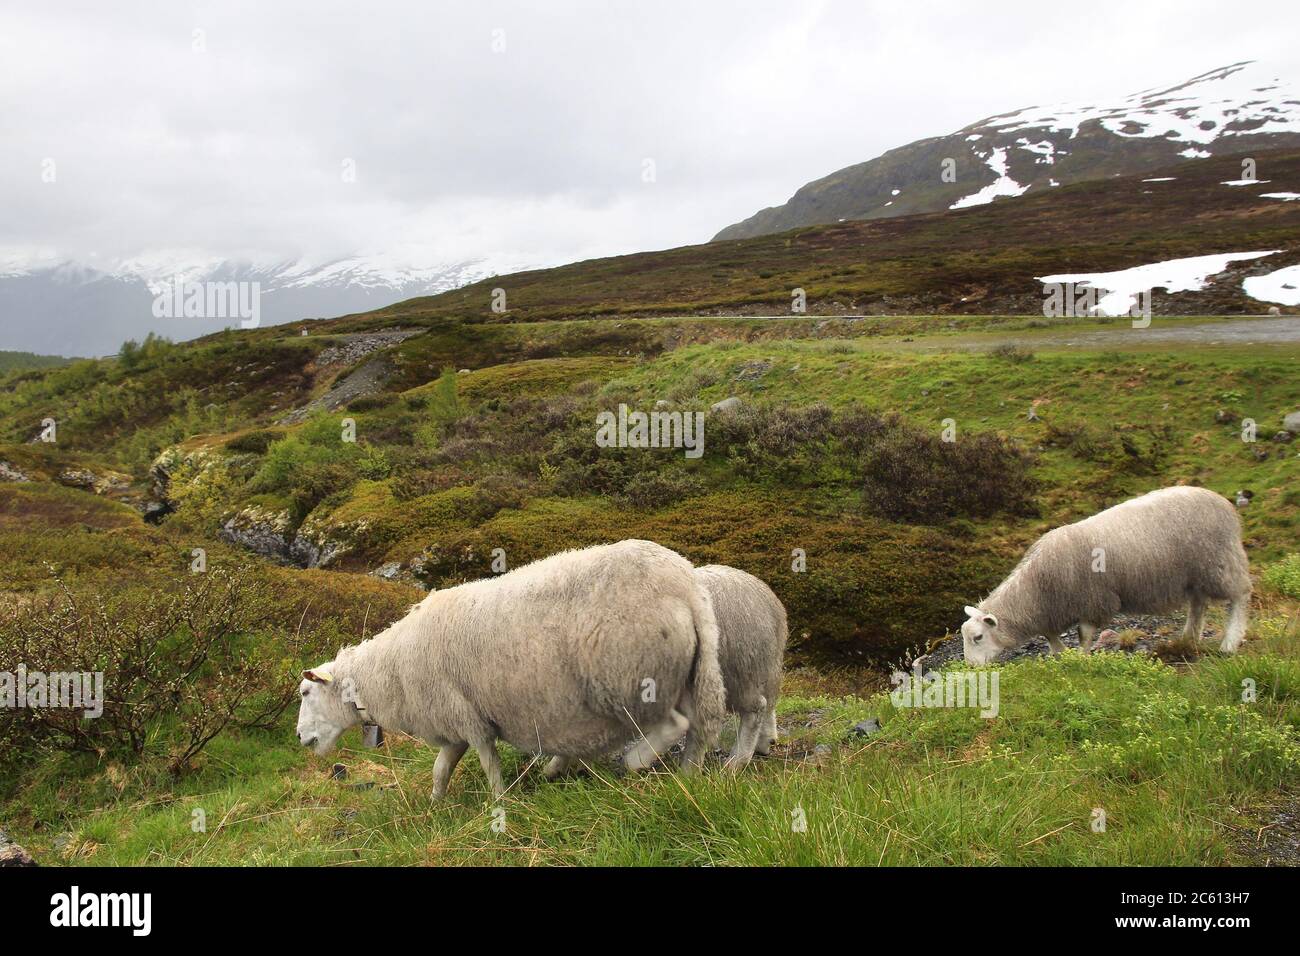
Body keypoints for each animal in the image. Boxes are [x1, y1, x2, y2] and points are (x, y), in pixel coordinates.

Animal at [295, 539, 727, 800]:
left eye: (305, 692)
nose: (300, 737)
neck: (390, 672)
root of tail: (686, 584)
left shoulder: (470, 720)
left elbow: (489, 767)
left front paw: (499, 803)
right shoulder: (457, 721)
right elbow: (440, 769)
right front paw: (434, 805)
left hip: (634, 680)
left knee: (675, 725)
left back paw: (635, 761)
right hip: (692, 672)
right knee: (699, 730)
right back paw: (687, 778)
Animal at [960, 486, 1251, 665]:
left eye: (978, 637)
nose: (972, 667)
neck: (1037, 588)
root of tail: (1225, 503)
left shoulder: (1093, 601)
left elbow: (1085, 635)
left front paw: (1081, 659)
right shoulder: (1053, 612)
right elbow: (1052, 639)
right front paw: (1062, 656)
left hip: (1220, 563)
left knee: (1241, 595)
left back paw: (1229, 642)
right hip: (1196, 575)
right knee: (1198, 605)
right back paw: (1189, 639)